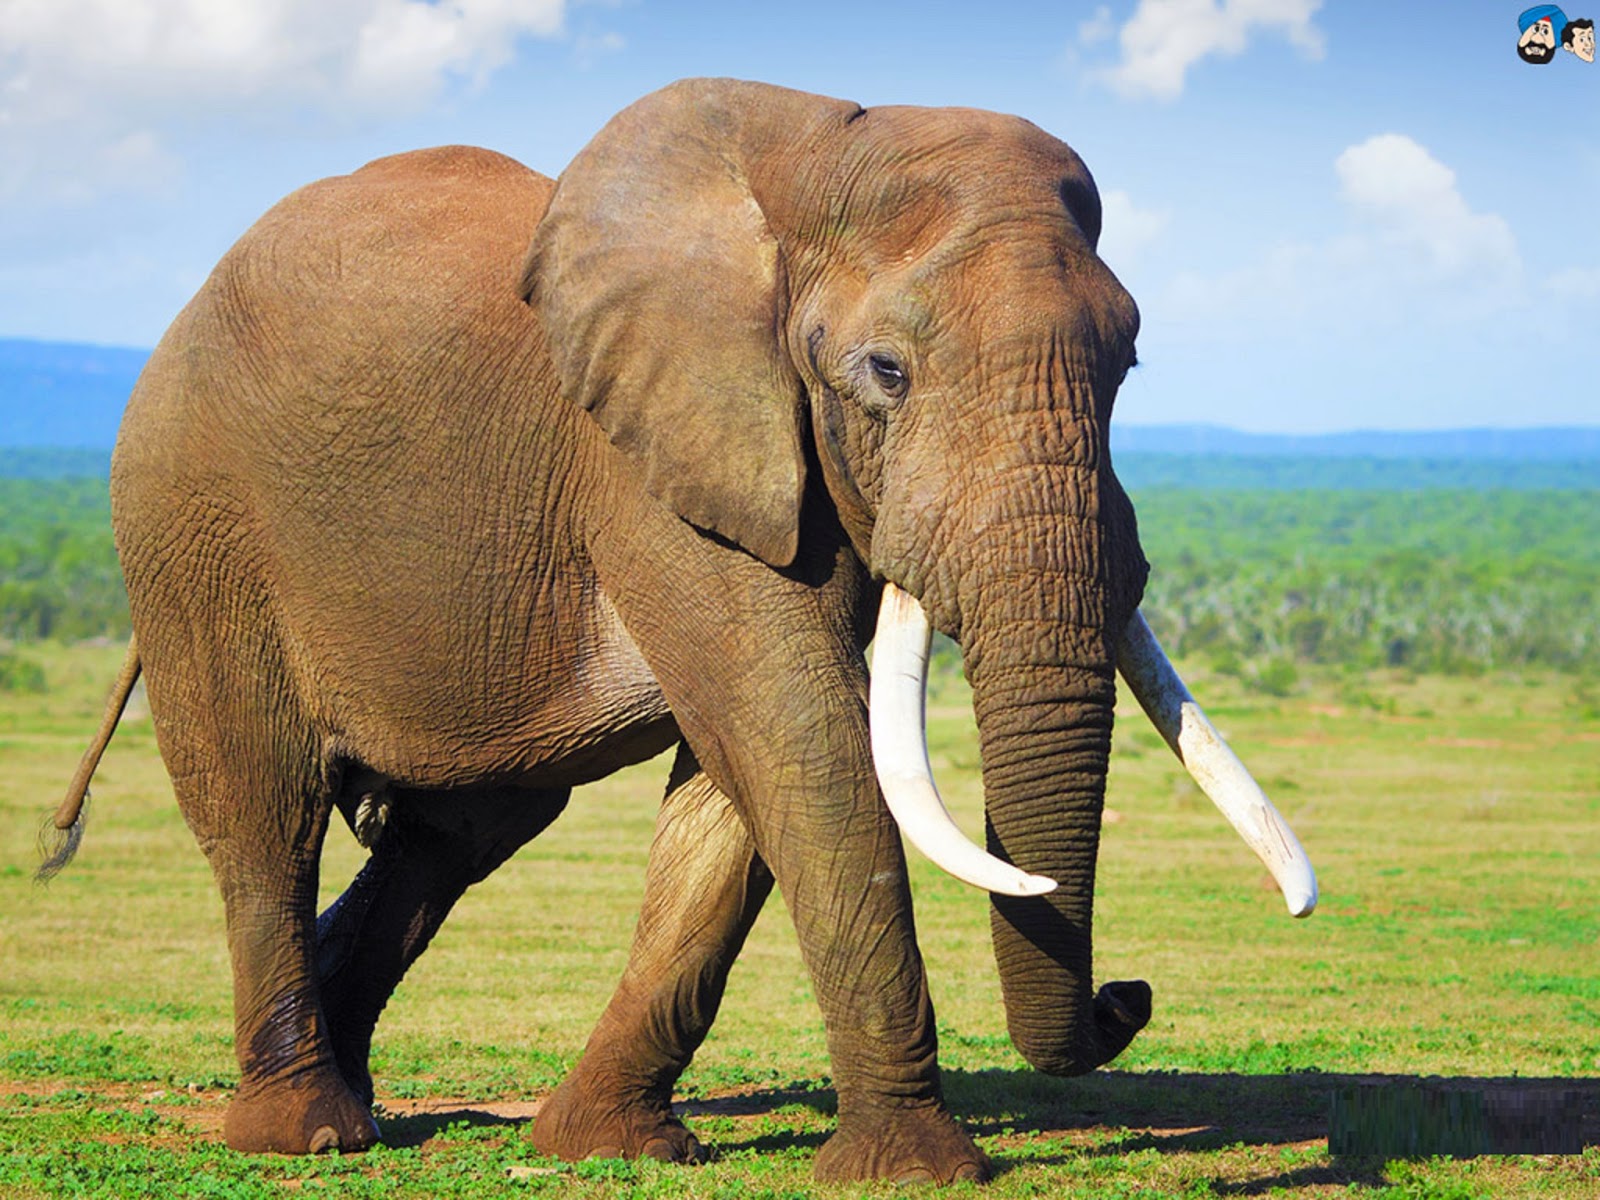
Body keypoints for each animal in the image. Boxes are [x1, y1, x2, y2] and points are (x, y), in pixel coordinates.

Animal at [46, 78, 1316, 1184]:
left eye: (1129, 363)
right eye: (886, 373)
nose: (1127, 999)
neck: (811, 155)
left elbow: (738, 782)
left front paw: (607, 1148)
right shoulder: (652, 455)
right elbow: (796, 732)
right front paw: (913, 1172)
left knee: (460, 829)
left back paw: (352, 1091)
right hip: (189, 526)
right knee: (266, 810)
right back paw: (303, 1132)